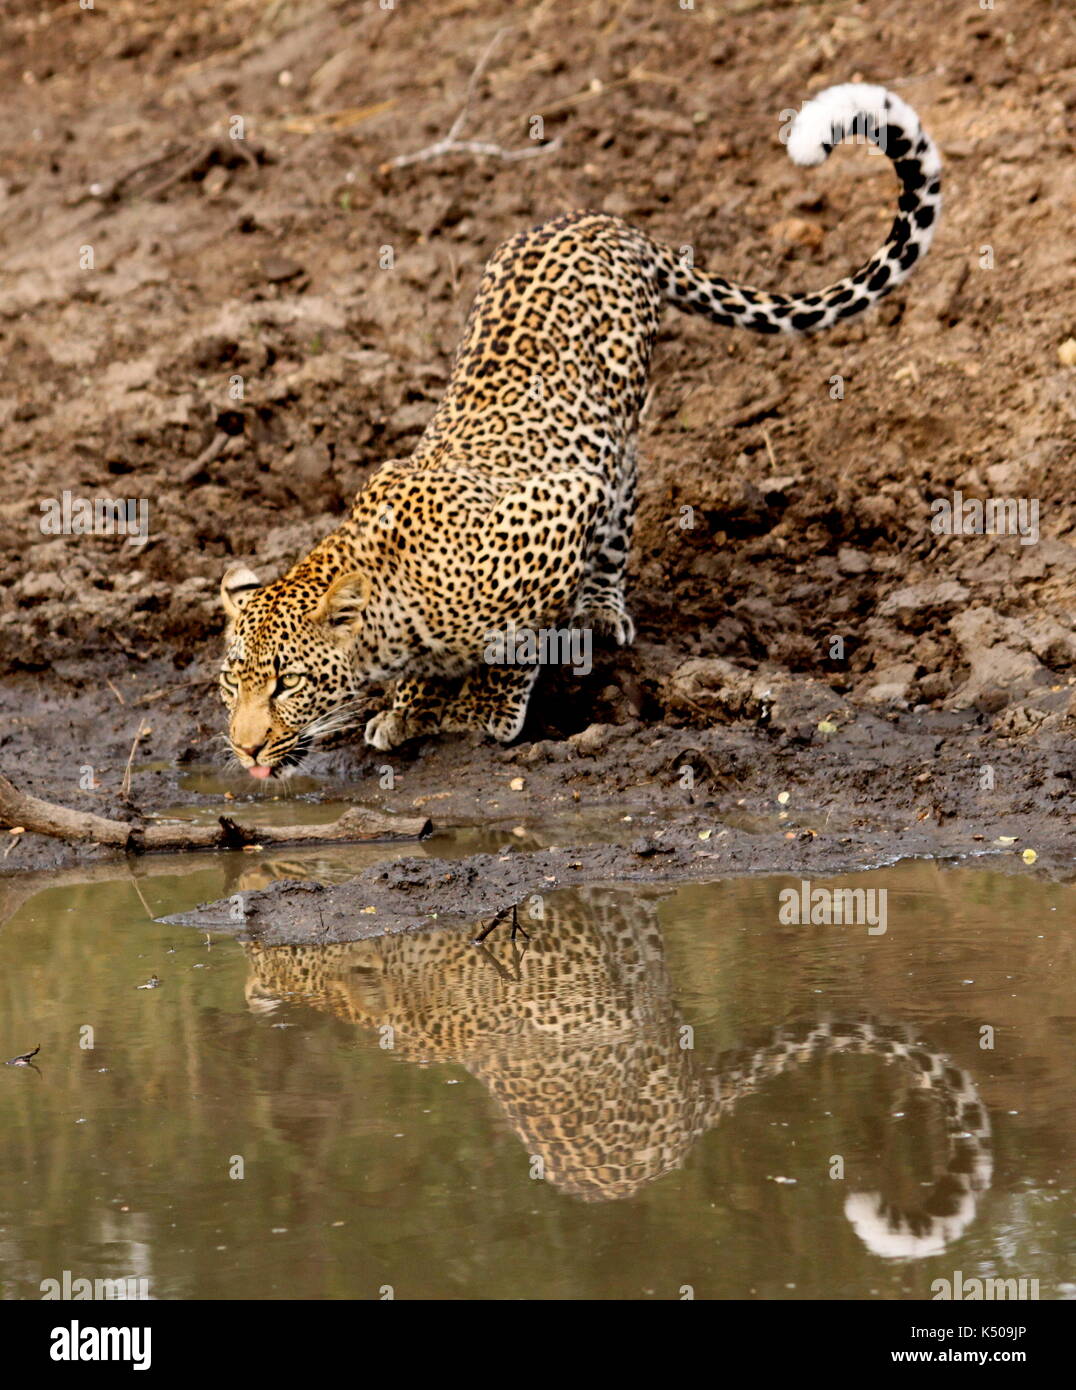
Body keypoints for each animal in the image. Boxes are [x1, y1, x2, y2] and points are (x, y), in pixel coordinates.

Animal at [219, 83, 941, 776]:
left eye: (287, 683)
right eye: (231, 683)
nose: (244, 748)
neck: (396, 610)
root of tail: (603, 220)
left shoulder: (565, 504)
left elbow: (511, 643)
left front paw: (484, 709)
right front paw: (409, 708)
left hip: (618, 430)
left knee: (621, 510)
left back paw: (599, 609)